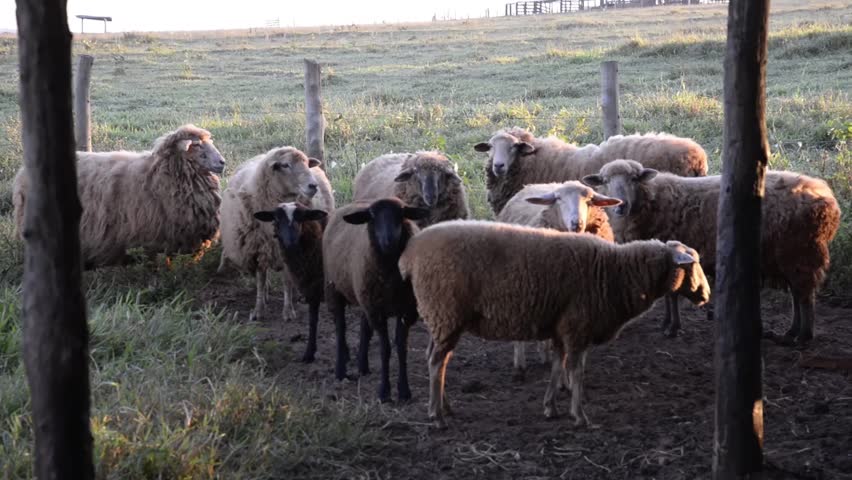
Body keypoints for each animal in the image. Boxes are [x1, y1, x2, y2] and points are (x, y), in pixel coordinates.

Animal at [217, 146, 330, 322]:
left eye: (306, 163)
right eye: (285, 165)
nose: (313, 186)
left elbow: (286, 281)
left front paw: (288, 310)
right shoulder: (256, 248)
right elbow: (260, 280)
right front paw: (258, 309)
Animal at [254, 202, 329, 363]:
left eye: (302, 218)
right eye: (276, 219)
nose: (290, 243)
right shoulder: (312, 287)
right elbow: (313, 320)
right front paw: (309, 354)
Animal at [323, 197, 428, 402]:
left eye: (401, 214)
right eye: (372, 216)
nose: (389, 241)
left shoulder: (407, 310)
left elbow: (401, 347)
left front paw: (404, 391)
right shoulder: (378, 312)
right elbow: (385, 349)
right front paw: (384, 392)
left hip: (365, 297)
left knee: (364, 327)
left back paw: (362, 367)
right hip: (335, 288)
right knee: (340, 328)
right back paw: (340, 371)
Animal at [398, 220, 710, 427]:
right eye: (692, 264)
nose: (706, 295)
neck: (616, 272)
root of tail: (410, 253)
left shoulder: (563, 327)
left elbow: (557, 367)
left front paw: (551, 407)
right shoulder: (578, 327)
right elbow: (576, 372)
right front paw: (580, 416)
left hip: (442, 318)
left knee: (436, 359)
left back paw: (445, 406)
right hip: (446, 313)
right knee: (437, 362)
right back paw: (437, 416)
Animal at [582, 159, 842, 344]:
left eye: (634, 178)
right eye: (605, 180)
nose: (621, 205)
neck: (650, 201)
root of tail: (827, 197)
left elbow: (672, 296)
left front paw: (672, 328)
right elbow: (668, 295)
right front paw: (667, 324)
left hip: (801, 253)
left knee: (805, 295)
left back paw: (803, 336)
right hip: (789, 256)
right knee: (798, 295)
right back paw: (791, 332)